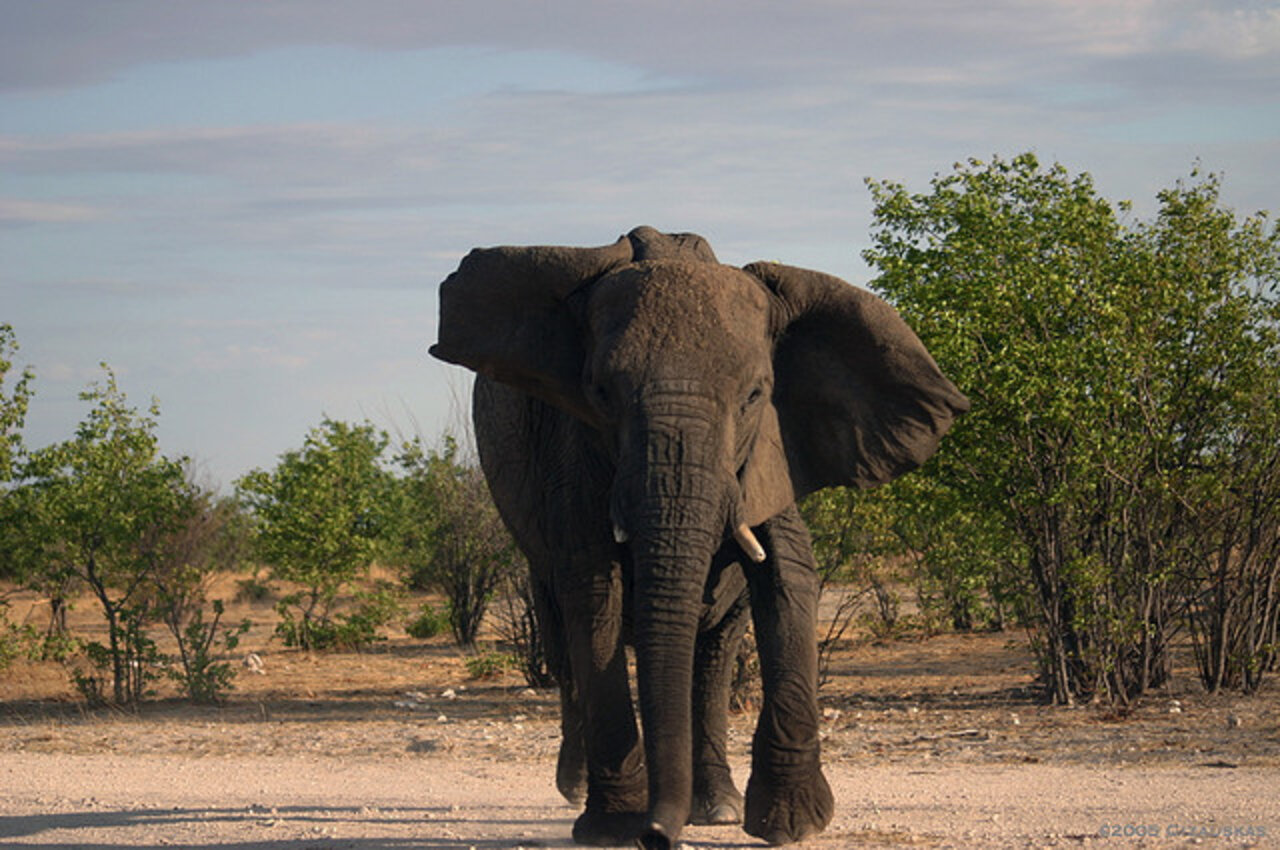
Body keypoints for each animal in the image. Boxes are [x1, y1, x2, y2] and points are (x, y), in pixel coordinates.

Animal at [430, 226, 968, 849]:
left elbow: (789, 575)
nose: (657, 837)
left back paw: (715, 810)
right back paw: (579, 788)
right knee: (561, 631)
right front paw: (613, 828)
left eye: (754, 396)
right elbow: (595, 590)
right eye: (600, 392)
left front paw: (791, 825)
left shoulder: (769, 449)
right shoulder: (574, 446)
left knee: (712, 656)